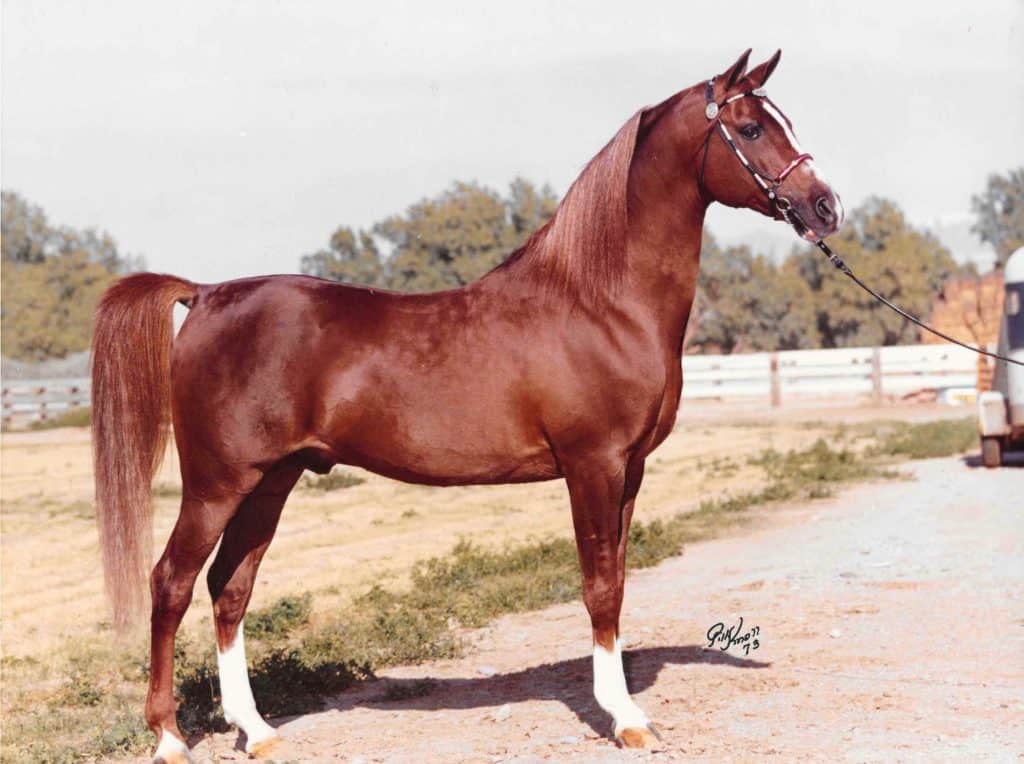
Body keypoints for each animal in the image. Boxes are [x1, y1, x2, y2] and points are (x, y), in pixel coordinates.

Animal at [91, 48, 843, 761]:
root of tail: (207, 295)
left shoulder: (630, 469)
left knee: (230, 587)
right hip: (216, 484)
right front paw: (626, 720)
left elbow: (620, 579)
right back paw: (169, 738)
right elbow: (600, 585)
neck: (600, 300)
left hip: (272, 480)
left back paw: (257, 731)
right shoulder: (592, 465)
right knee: (171, 584)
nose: (826, 206)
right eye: (752, 128)